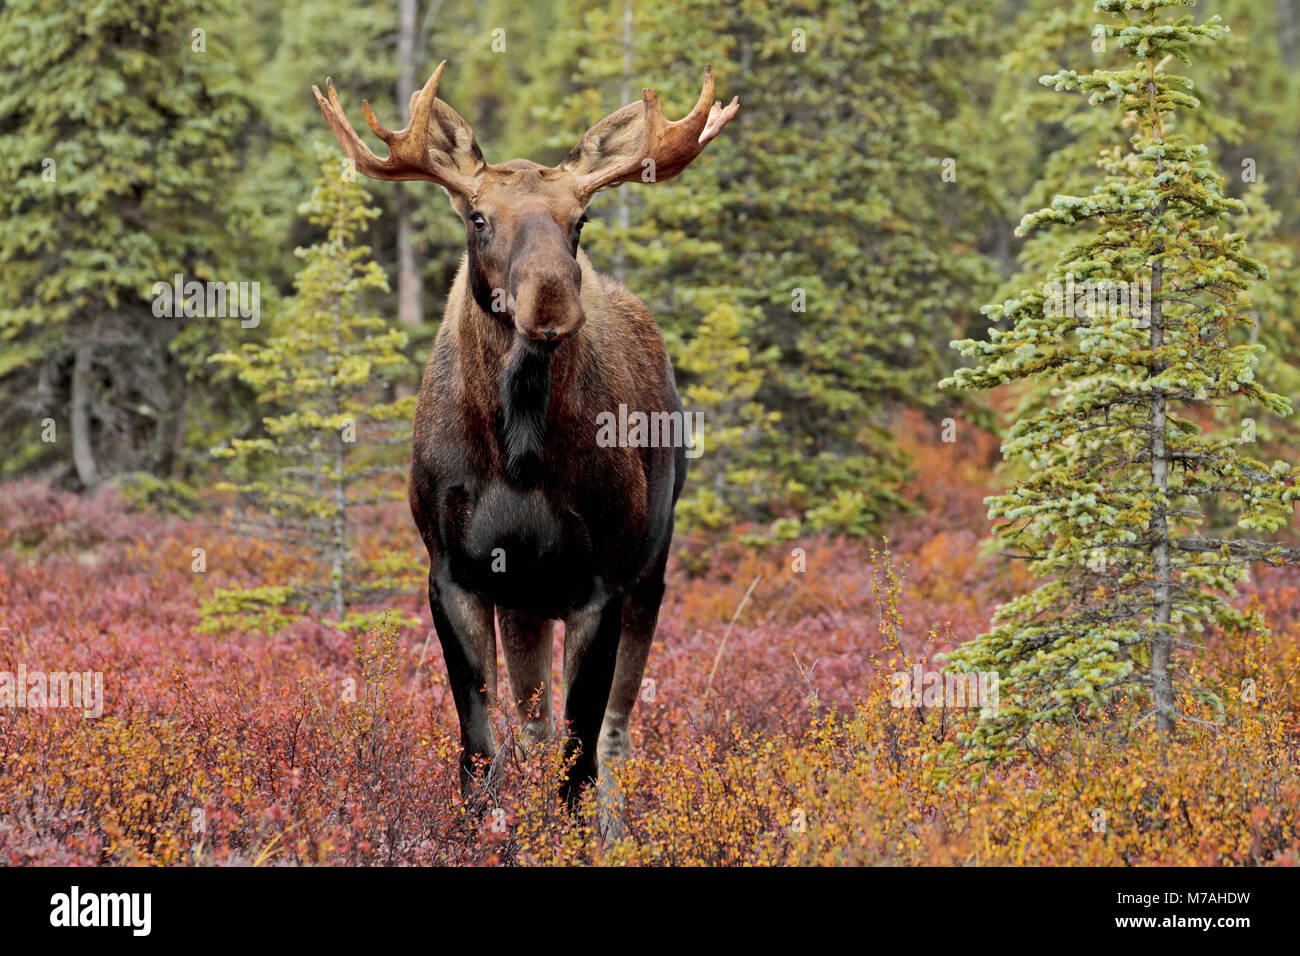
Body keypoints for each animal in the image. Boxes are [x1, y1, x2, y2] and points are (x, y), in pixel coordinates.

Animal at [313, 60, 738, 830]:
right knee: (536, 726)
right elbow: (482, 748)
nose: (551, 300)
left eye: (580, 220)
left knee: (617, 733)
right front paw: (476, 834)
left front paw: (568, 835)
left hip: (649, 571)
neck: (517, 451)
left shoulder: (602, 582)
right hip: (525, 602)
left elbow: (581, 755)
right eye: (478, 217)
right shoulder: (453, 570)